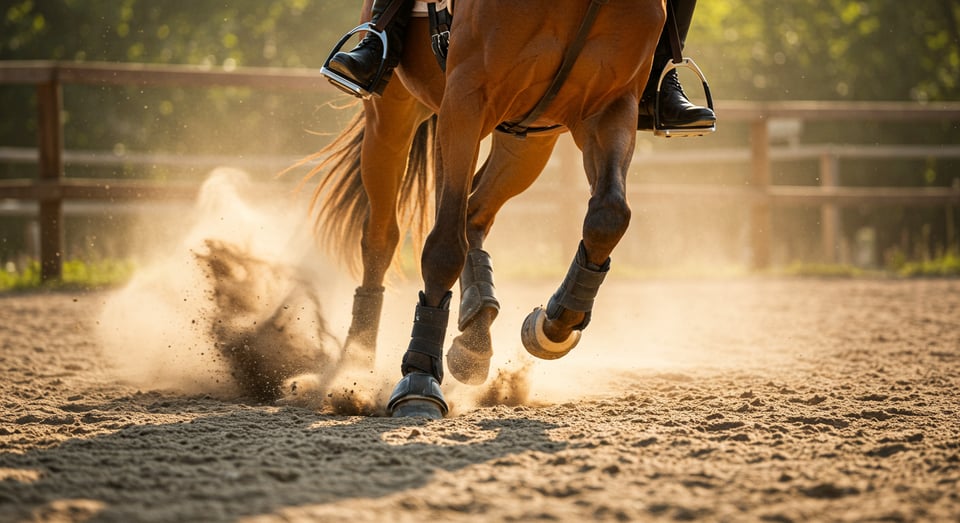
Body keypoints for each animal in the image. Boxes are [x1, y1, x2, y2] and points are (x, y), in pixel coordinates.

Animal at [298, 0, 667, 418]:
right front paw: (419, 379)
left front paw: (554, 323)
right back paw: (355, 366)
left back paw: (475, 336)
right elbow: (443, 248)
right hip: (392, 118)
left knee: (472, 213)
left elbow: (609, 215)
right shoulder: (466, 99)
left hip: (528, 140)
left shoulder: (612, 107)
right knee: (383, 236)